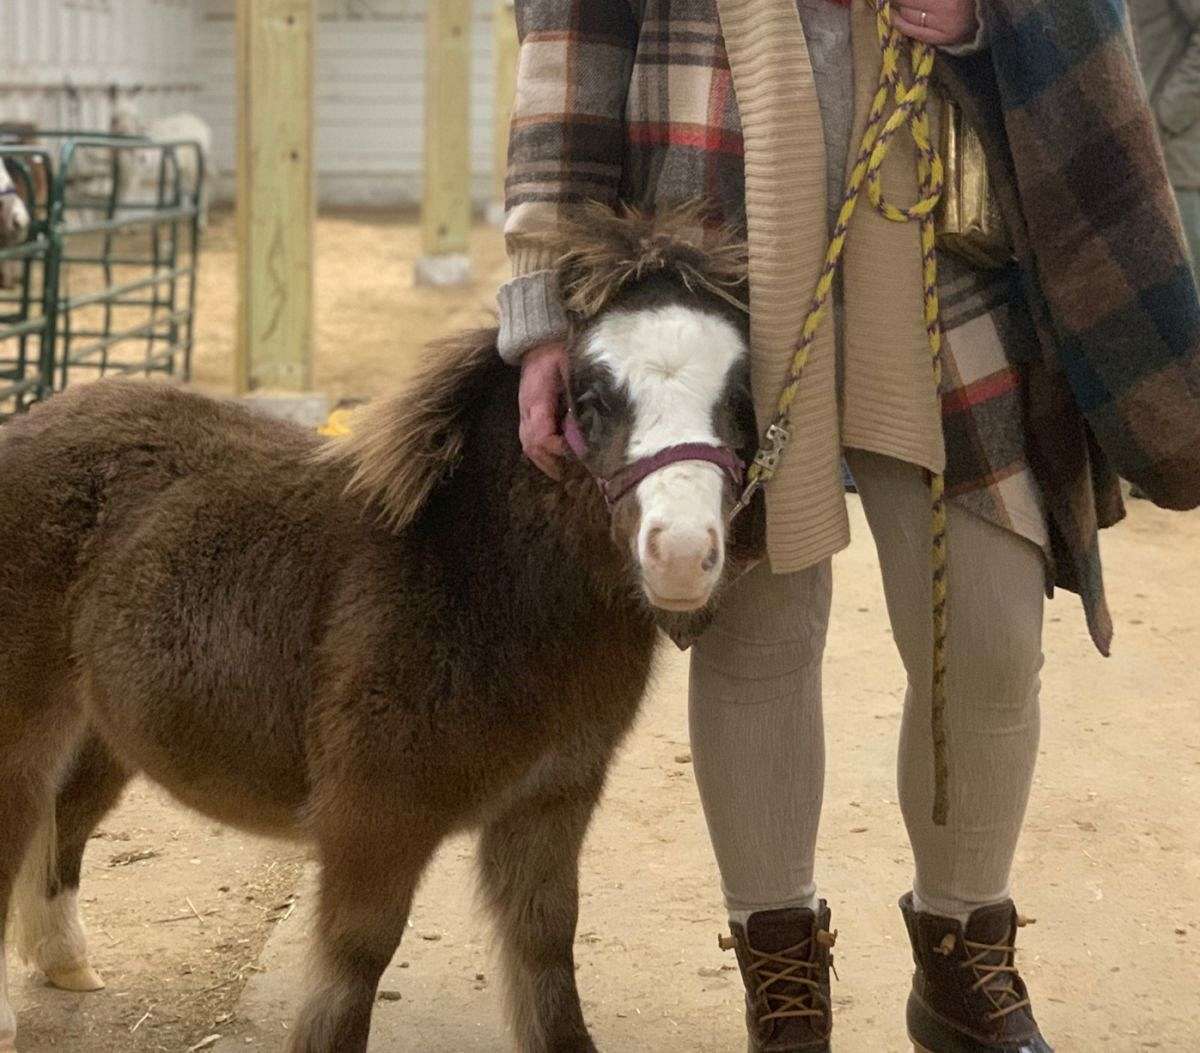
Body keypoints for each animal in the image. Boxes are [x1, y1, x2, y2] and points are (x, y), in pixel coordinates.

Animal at [0, 206, 762, 1052]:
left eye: (741, 398)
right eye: (589, 397)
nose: (683, 553)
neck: (480, 578)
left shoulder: (551, 799)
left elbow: (546, 946)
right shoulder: (374, 814)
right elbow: (354, 964)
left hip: (99, 730)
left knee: (62, 823)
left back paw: (68, 962)